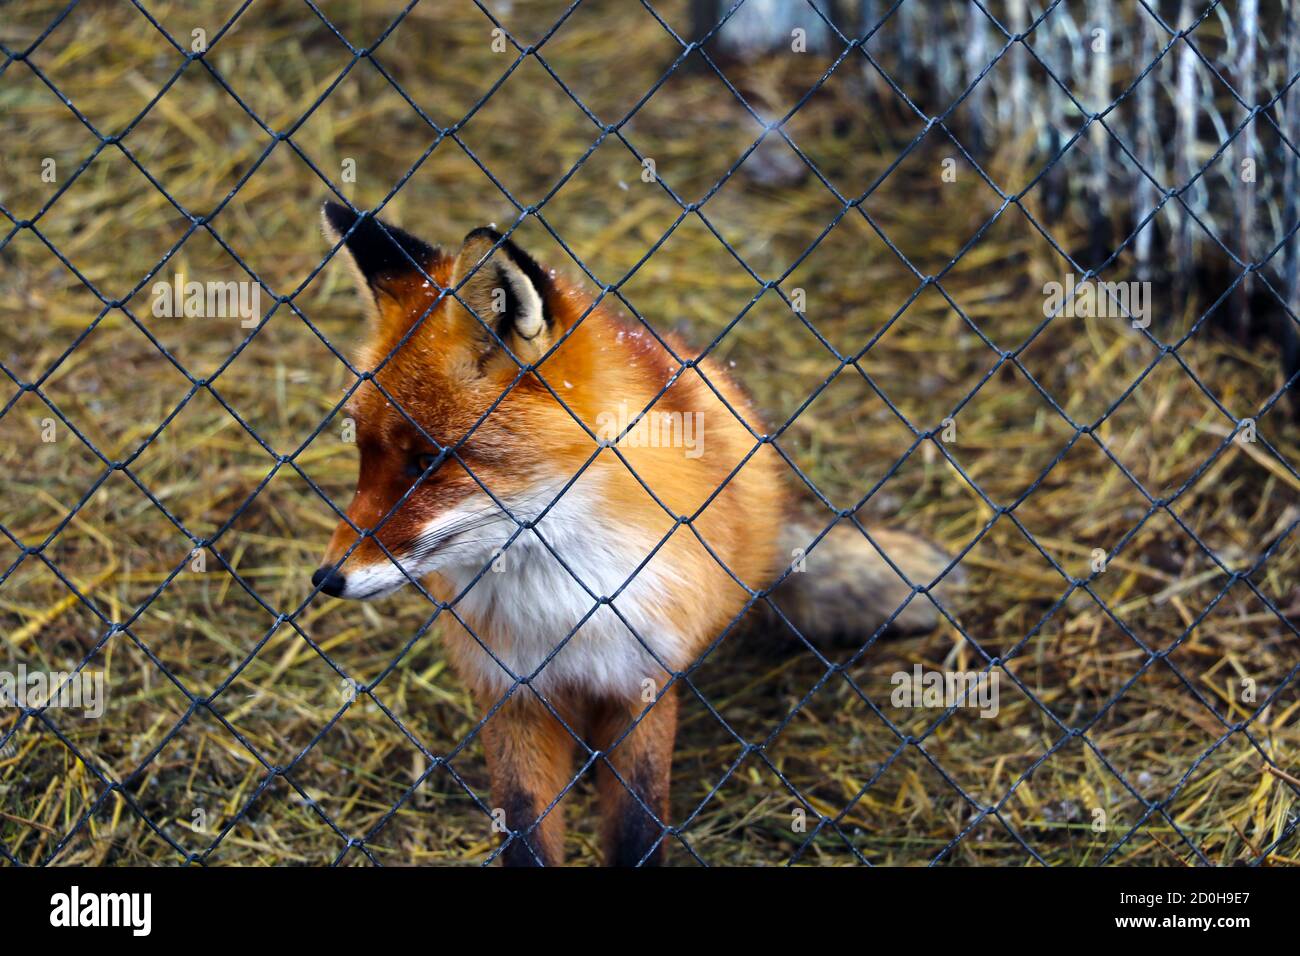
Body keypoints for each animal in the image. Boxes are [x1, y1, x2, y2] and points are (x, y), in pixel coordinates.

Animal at [313, 201, 955, 866]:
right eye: (361, 455)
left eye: (426, 463)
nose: (325, 579)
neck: (562, 601)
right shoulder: (513, 693)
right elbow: (525, 832)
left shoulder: (641, 681)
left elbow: (638, 827)